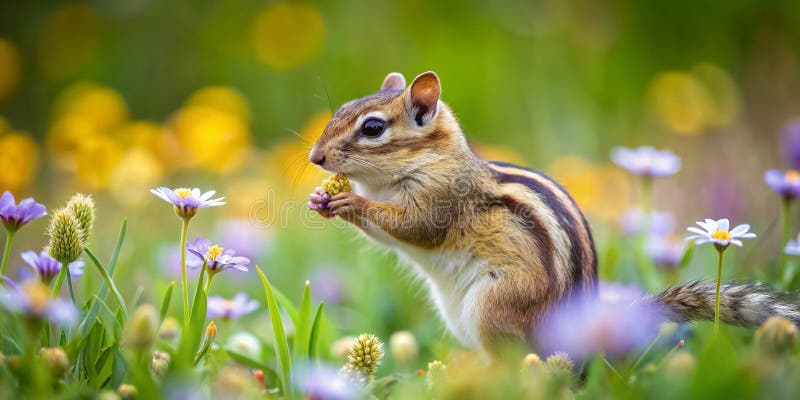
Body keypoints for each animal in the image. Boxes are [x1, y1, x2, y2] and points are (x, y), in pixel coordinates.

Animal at [308, 71, 800, 354]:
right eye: (340, 110)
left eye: (373, 128)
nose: (315, 157)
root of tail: (574, 334)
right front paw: (320, 199)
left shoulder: (442, 199)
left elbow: (414, 228)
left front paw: (352, 202)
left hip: (494, 306)